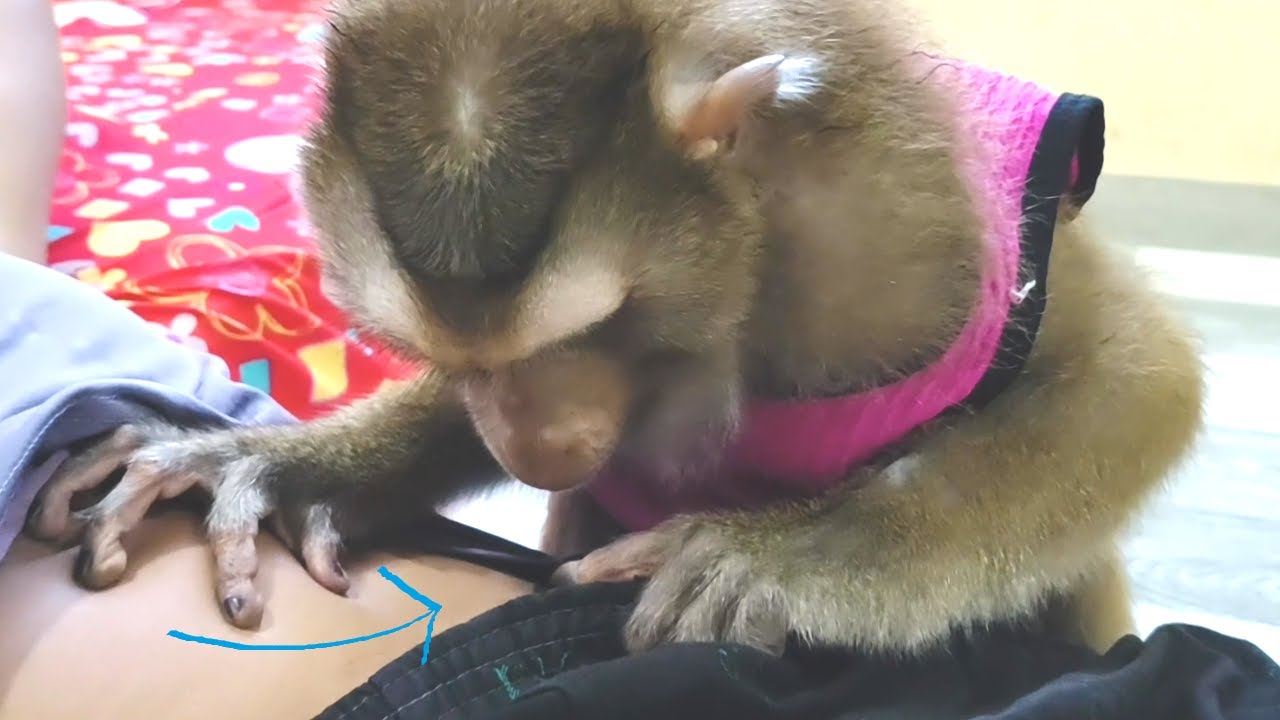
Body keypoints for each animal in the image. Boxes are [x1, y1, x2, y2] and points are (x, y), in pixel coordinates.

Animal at [25, 0, 1204, 659]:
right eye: (467, 363)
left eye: (588, 333)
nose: (532, 452)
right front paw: (288, 464)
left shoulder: (903, 238)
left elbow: (1134, 378)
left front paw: (791, 559)